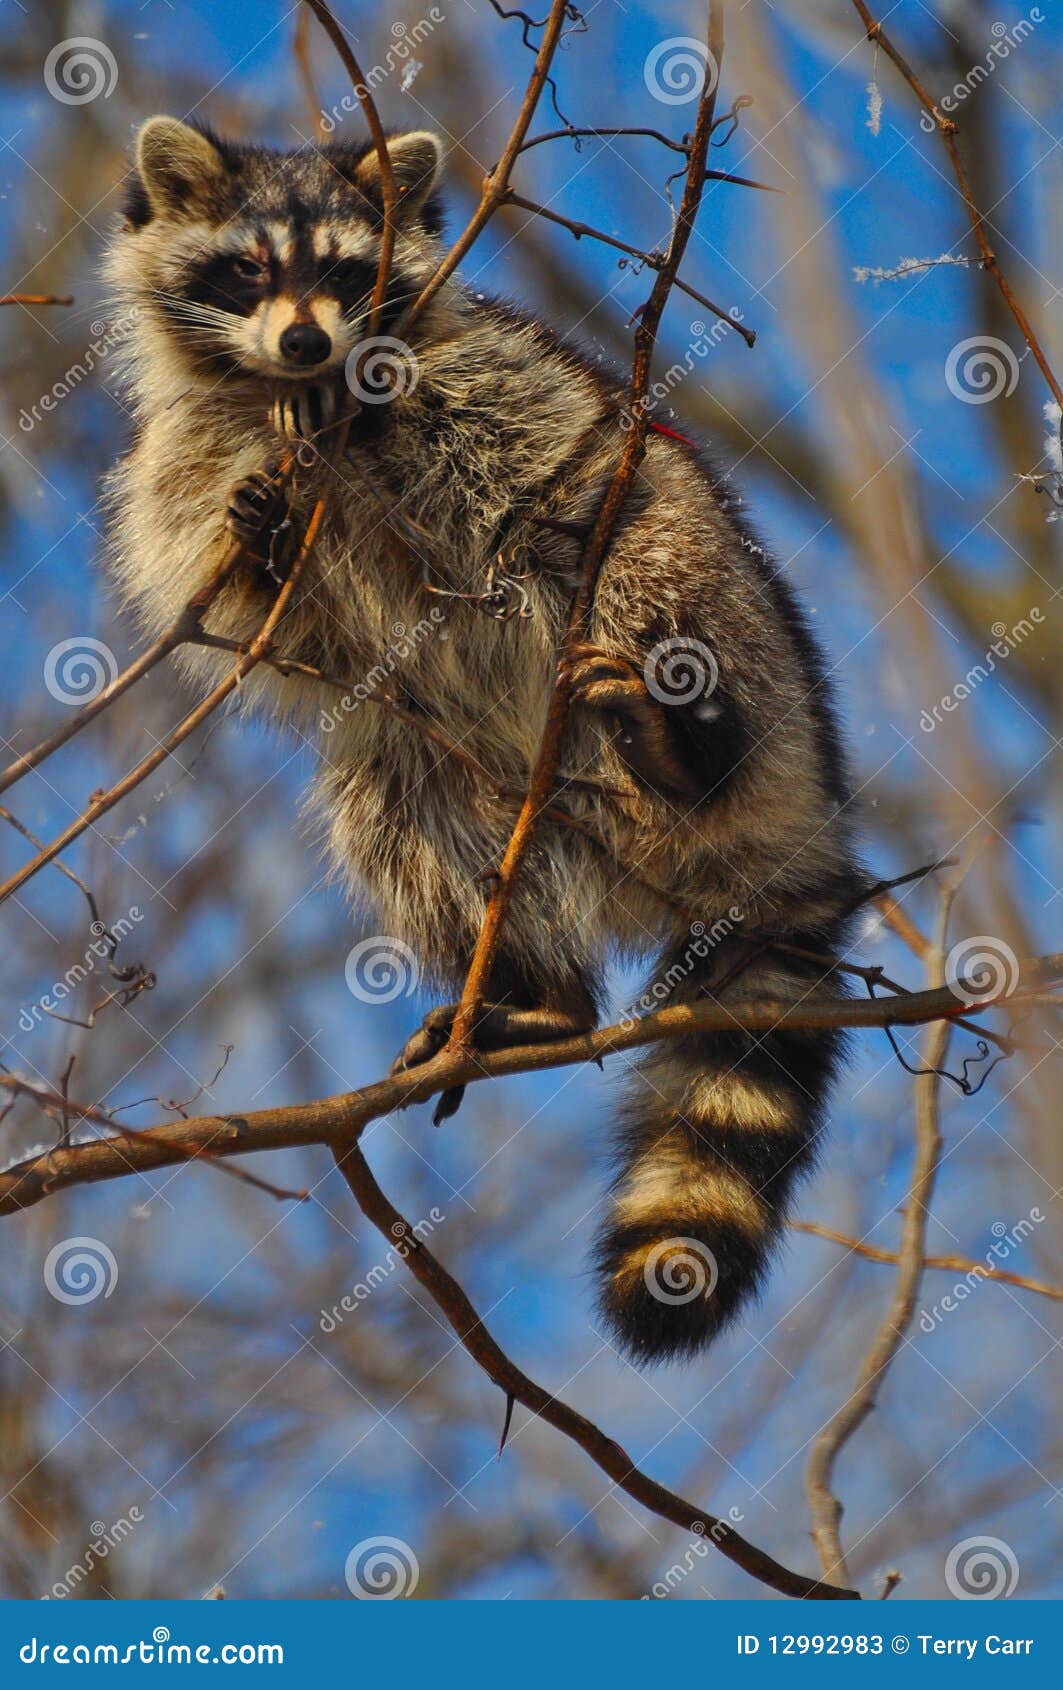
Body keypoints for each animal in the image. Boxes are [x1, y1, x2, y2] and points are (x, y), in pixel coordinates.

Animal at [104, 117, 862, 1363]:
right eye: (250, 268)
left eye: (345, 271)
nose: (308, 338)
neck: (280, 390)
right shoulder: (189, 453)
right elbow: (264, 621)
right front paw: (264, 548)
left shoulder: (495, 376)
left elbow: (498, 445)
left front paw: (362, 408)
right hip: (497, 792)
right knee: (398, 797)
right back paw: (543, 992)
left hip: (722, 603)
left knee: (637, 561)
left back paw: (687, 742)